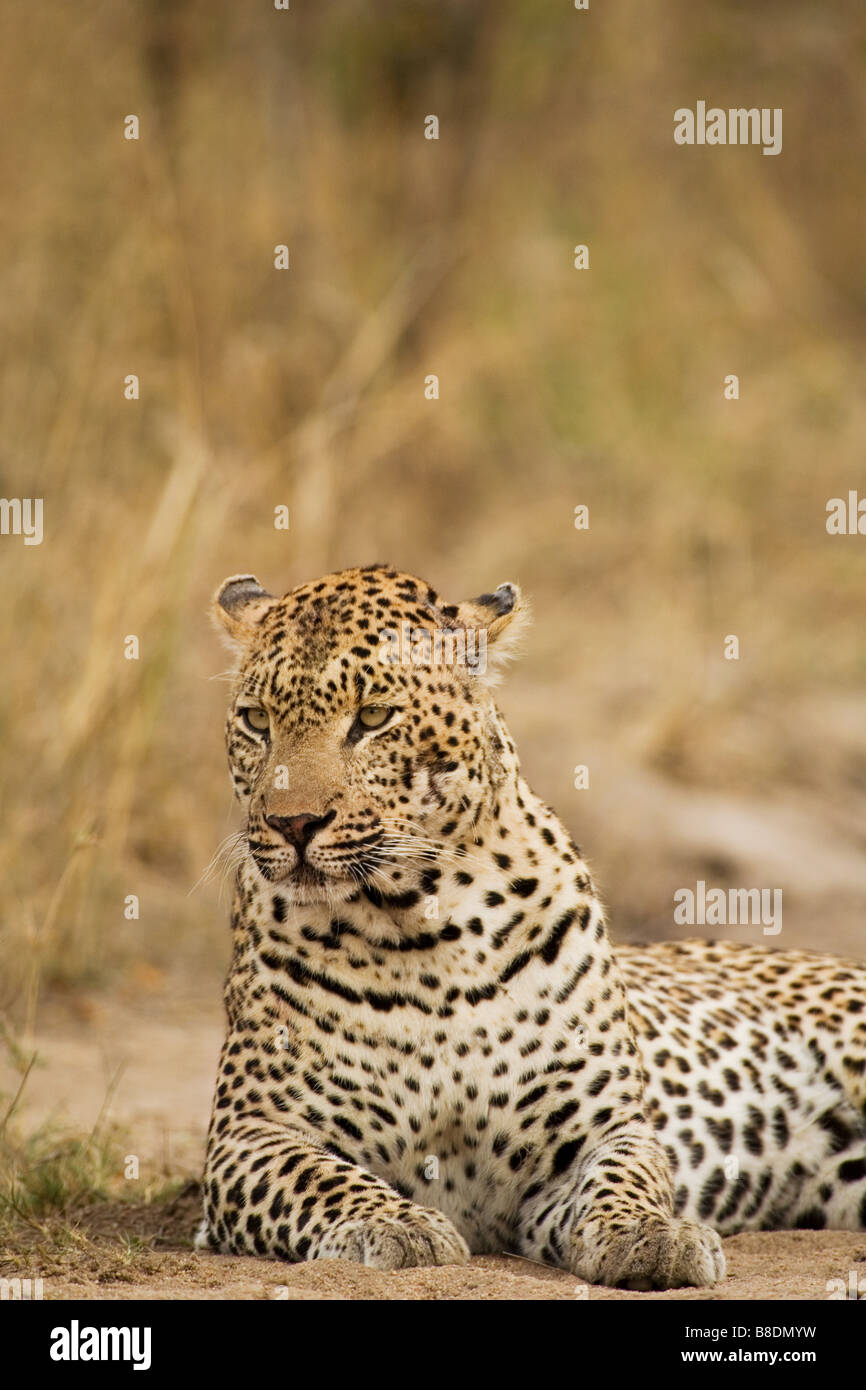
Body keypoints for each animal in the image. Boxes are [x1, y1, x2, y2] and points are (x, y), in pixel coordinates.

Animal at [196, 564, 866, 1289]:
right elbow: (320, 1178)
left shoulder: (607, 1130)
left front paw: (652, 1235)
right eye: (256, 720)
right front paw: (397, 1224)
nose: (292, 824)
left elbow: (623, 1178)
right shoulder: (249, 1134)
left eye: (374, 717)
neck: (419, 929)